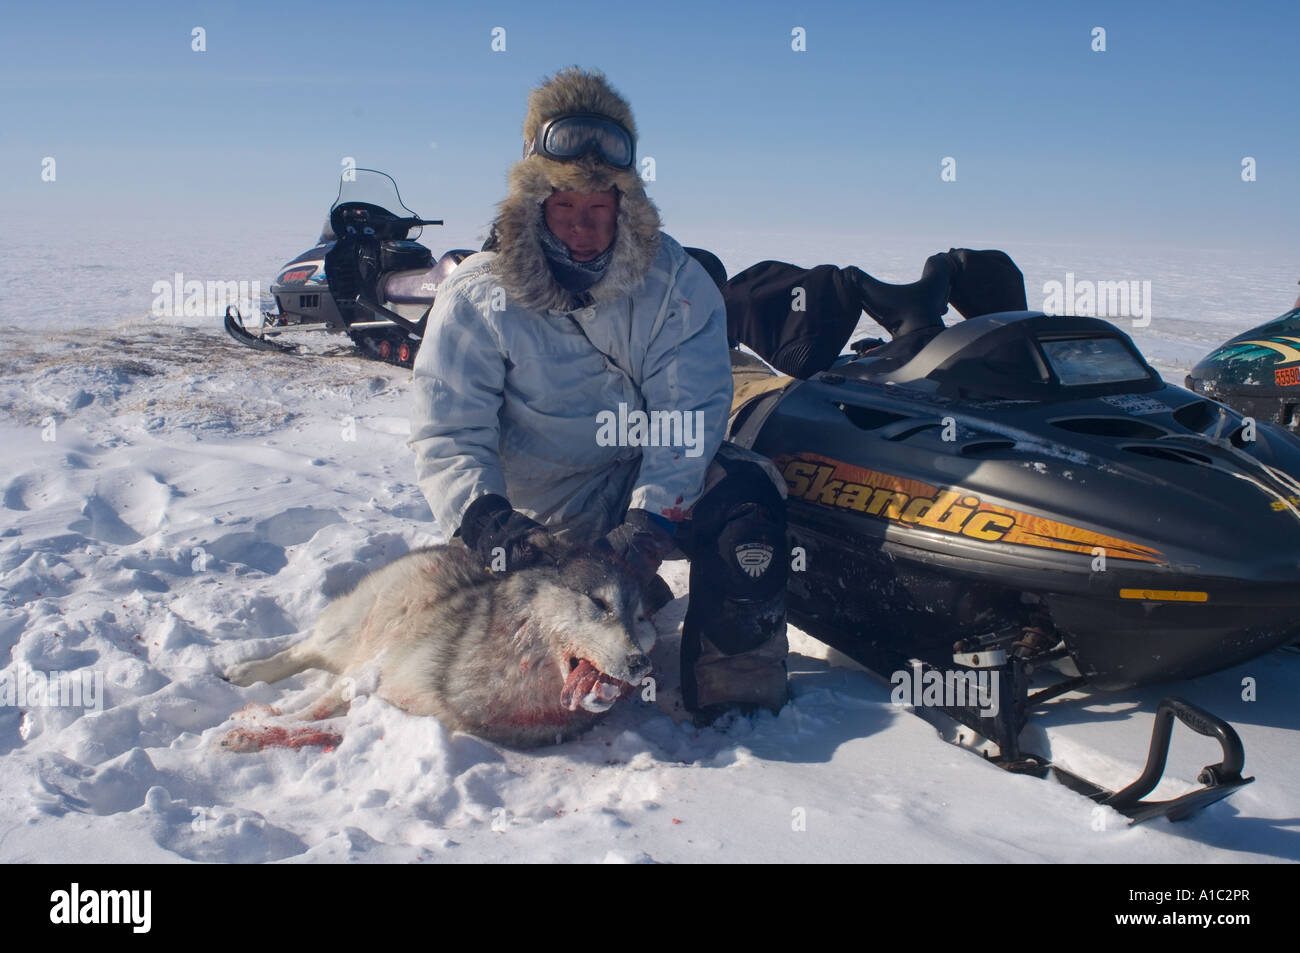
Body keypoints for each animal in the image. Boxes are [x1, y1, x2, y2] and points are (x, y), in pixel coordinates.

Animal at [224, 538, 655, 748]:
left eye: (640, 619)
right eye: (599, 602)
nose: (640, 664)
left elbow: (328, 724)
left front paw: (253, 733)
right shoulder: (369, 673)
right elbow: (311, 712)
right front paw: (254, 727)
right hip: (352, 632)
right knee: (302, 648)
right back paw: (244, 671)